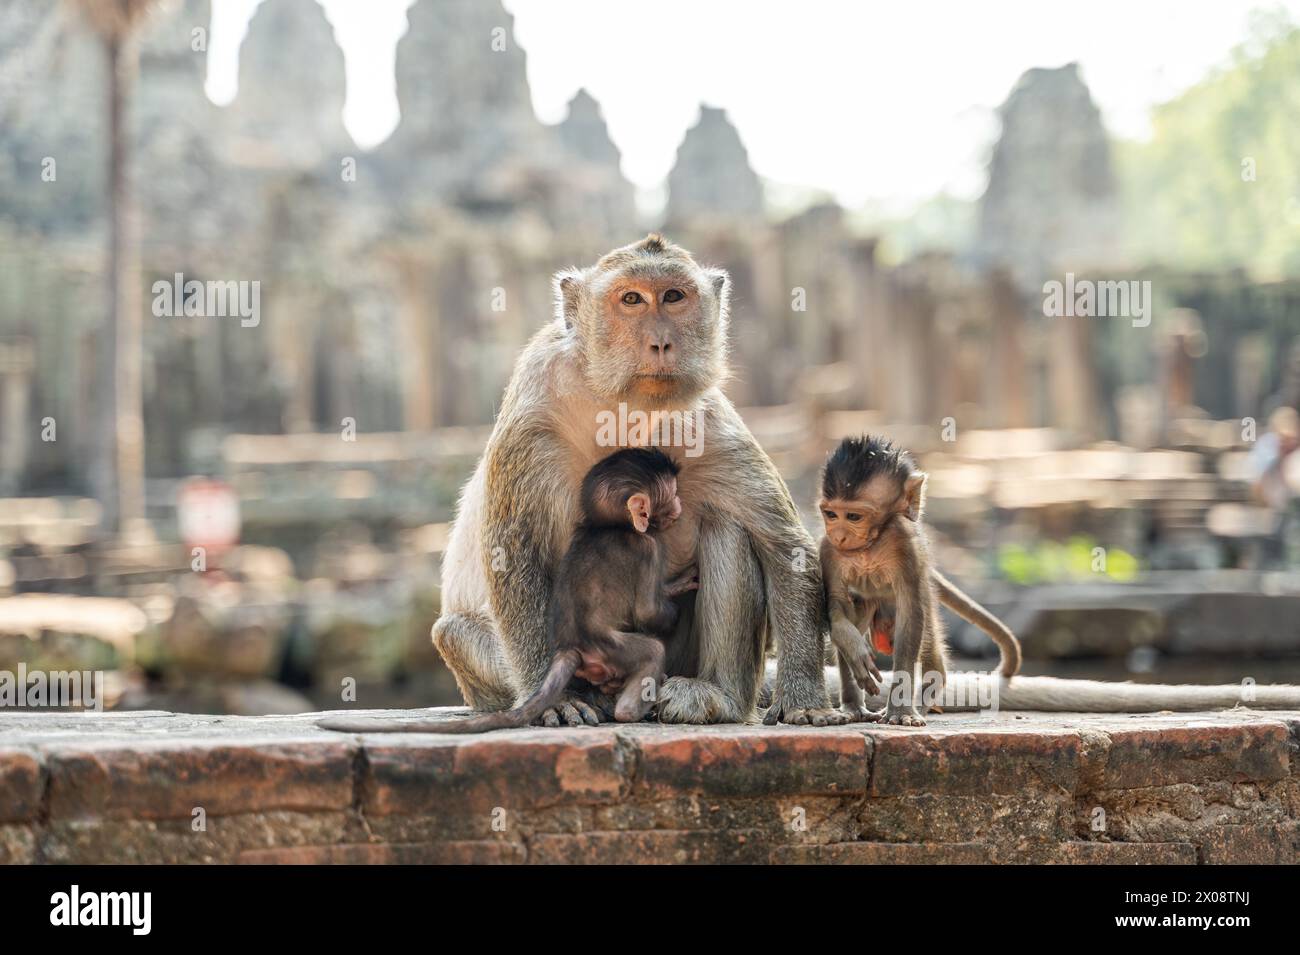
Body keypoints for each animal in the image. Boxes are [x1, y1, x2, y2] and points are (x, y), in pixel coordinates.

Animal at [319, 448, 700, 734]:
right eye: (671, 495)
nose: (680, 506)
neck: (610, 526)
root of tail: (571, 648)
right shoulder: (648, 547)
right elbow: (649, 611)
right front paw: (678, 588)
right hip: (611, 649)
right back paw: (627, 709)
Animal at [429, 235, 843, 729]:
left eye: (674, 297)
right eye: (631, 300)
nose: (661, 342)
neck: (622, 410)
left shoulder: (706, 421)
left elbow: (784, 547)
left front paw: (805, 699)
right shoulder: (534, 418)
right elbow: (514, 554)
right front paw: (553, 696)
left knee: (727, 528)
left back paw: (714, 695)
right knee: (455, 631)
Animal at [818, 435, 1022, 726]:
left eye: (854, 517)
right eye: (831, 514)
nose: (839, 535)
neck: (870, 546)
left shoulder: (906, 546)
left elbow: (911, 616)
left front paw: (899, 711)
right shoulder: (828, 551)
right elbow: (838, 609)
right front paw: (851, 645)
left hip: (925, 590)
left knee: (926, 637)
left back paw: (930, 688)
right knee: (857, 612)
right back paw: (853, 707)